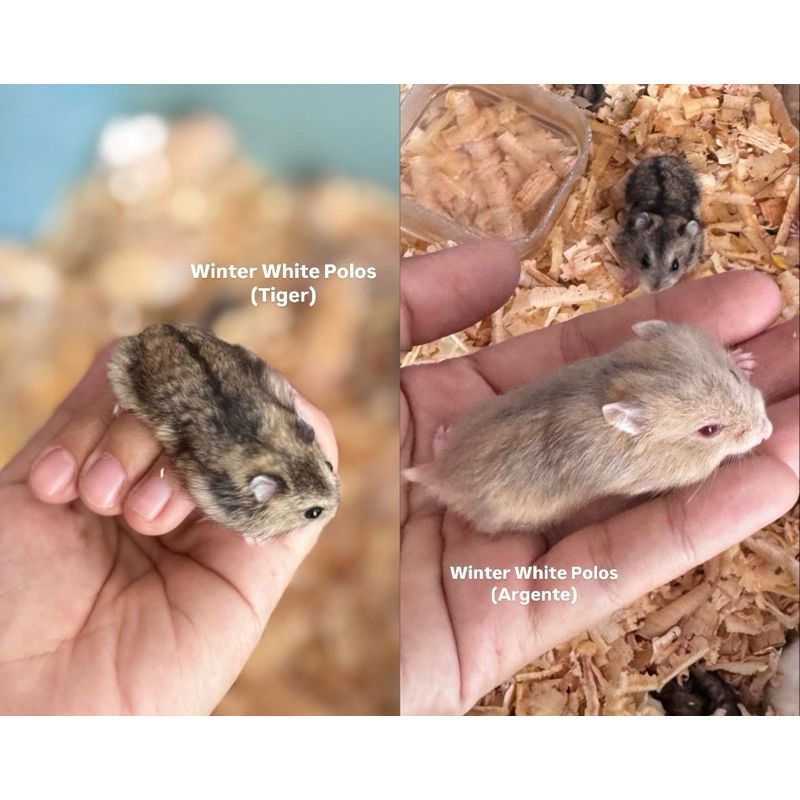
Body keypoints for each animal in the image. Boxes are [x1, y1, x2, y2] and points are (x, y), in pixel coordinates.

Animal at [107, 323, 340, 541]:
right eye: (314, 512)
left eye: (329, 465)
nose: (338, 504)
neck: (268, 449)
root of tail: (154, 329)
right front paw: (254, 540)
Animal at [615, 155, 704, 293]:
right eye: (644, 261)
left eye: (676, 265)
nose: (655, 290)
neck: (665, 214)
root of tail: (660, 156)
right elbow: (628, 266)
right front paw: (627, 283)